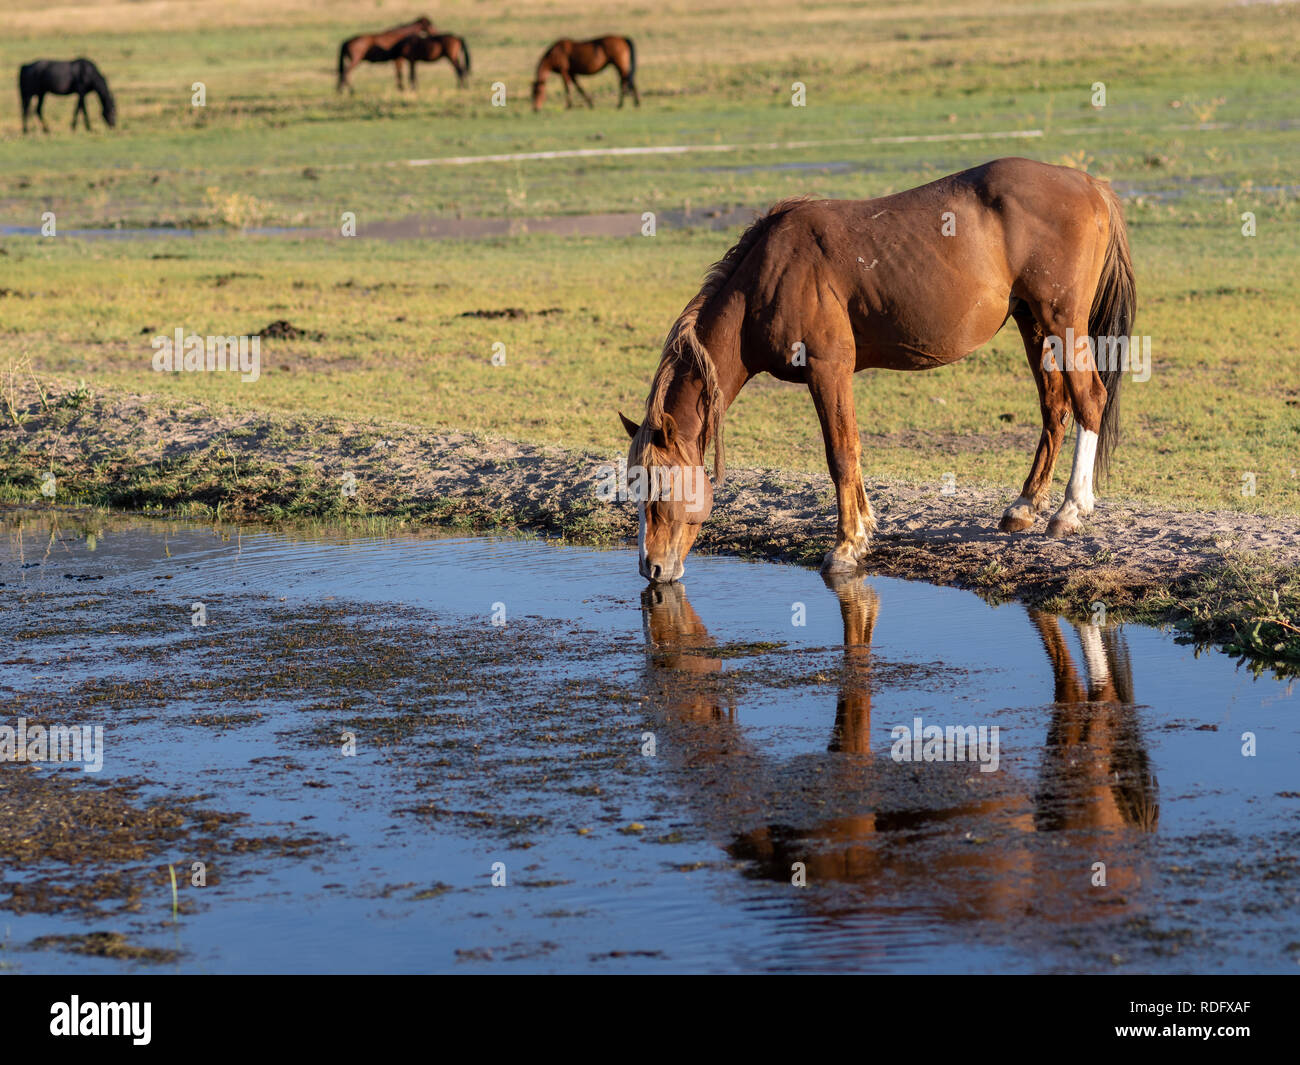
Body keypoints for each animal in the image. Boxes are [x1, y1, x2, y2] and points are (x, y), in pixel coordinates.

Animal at [620, 157, 1136, 584]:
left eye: (658, 488)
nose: (651, 568)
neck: (767, 279)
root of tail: (1089, 185)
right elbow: (850, 453)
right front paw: (865, 530)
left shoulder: (828, 371)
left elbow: (841, 454)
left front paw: (846, 547)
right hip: (1034, 325)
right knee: (1055, 407)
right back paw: (1025, 507)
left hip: (1061, 321)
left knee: (1089, 400)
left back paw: (1070, 511)